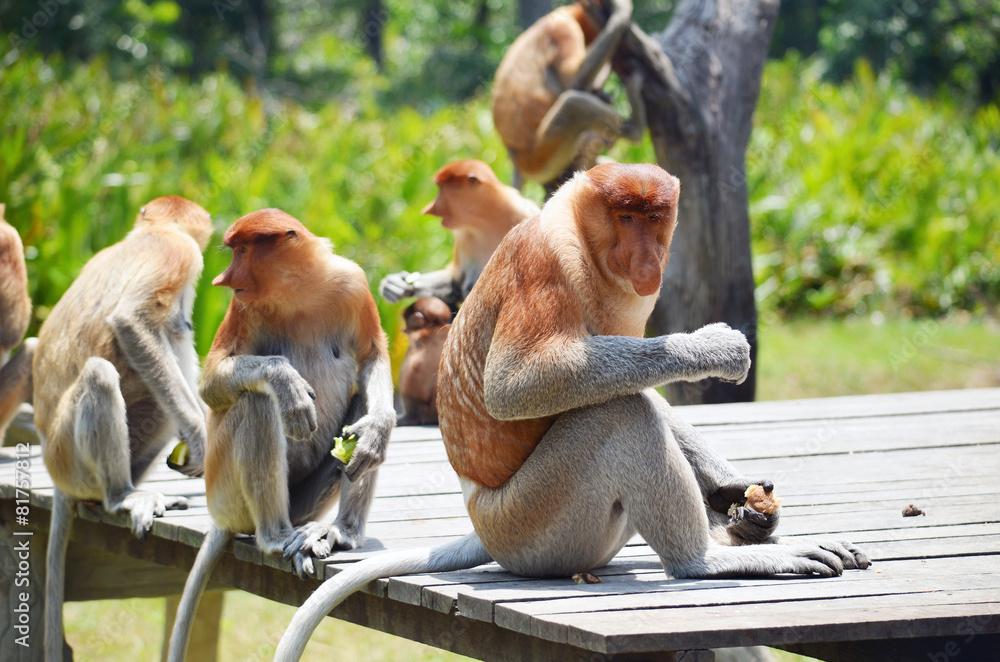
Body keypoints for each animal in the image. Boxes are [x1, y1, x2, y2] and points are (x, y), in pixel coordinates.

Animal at [33, 196, 212, 661]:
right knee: (105, 370)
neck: (151, 232)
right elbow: (132, 321)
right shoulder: (178, 254)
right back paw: (121, 497)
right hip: (71, 457)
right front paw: (201, 435)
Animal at [167, 209, 395, 662]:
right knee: (256, 404)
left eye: (242, 250)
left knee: (360, 403)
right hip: (226, 496)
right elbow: (213, 381)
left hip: (305, 501)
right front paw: (286, 383)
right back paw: (275, 537)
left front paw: (377, 432)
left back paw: (341, 532)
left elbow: (372, 355)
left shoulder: (353, 283)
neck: (298, 291)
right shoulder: (241, 306)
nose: (221, 279)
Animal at [379, 159, 539, 309]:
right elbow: (455, 282)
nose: (427, 209)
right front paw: (393, 284)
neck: (488, 221)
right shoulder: (463, 237)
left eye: (442, 189)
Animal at [491, 0, 647, 195]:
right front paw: (621, 14)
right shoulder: (562, 29)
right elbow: (573, 80)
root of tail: (516, 161)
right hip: (542, 157)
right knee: (573, 104)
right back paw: (635, 129)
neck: (566, 13)